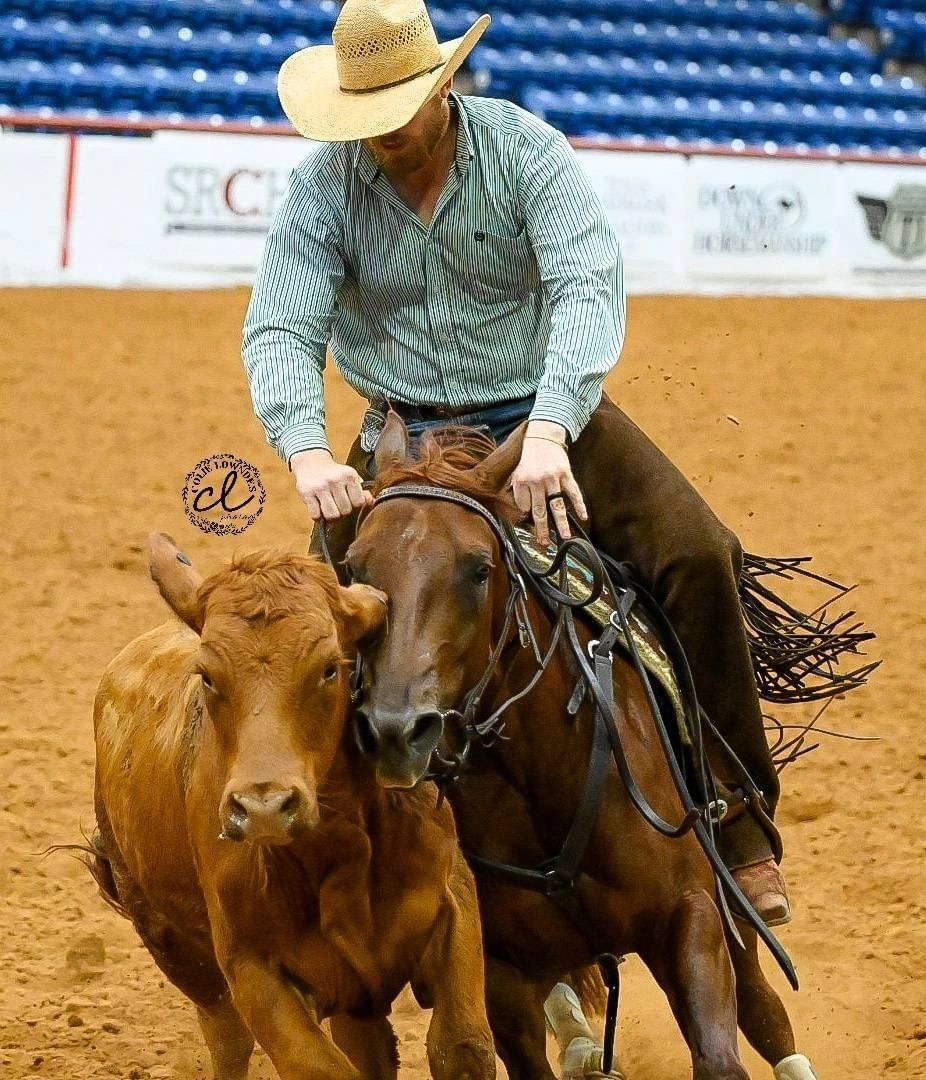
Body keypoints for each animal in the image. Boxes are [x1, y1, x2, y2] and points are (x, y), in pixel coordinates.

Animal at [86, 533, 496, 1080]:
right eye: (208, 676)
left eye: (329, 668)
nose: (264, 806)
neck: (338, 851)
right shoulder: (253, 971)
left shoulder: (455, 904)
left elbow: (461, 1046)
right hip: (172, 943)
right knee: (227, 1037)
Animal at [341, 412, 818, 1080]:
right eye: (355, 568)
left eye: (478, 568)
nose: (395, 729)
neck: (542, 784)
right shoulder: (503, 977)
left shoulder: (691, 913)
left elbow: (723, 1054)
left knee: (762, 1004)